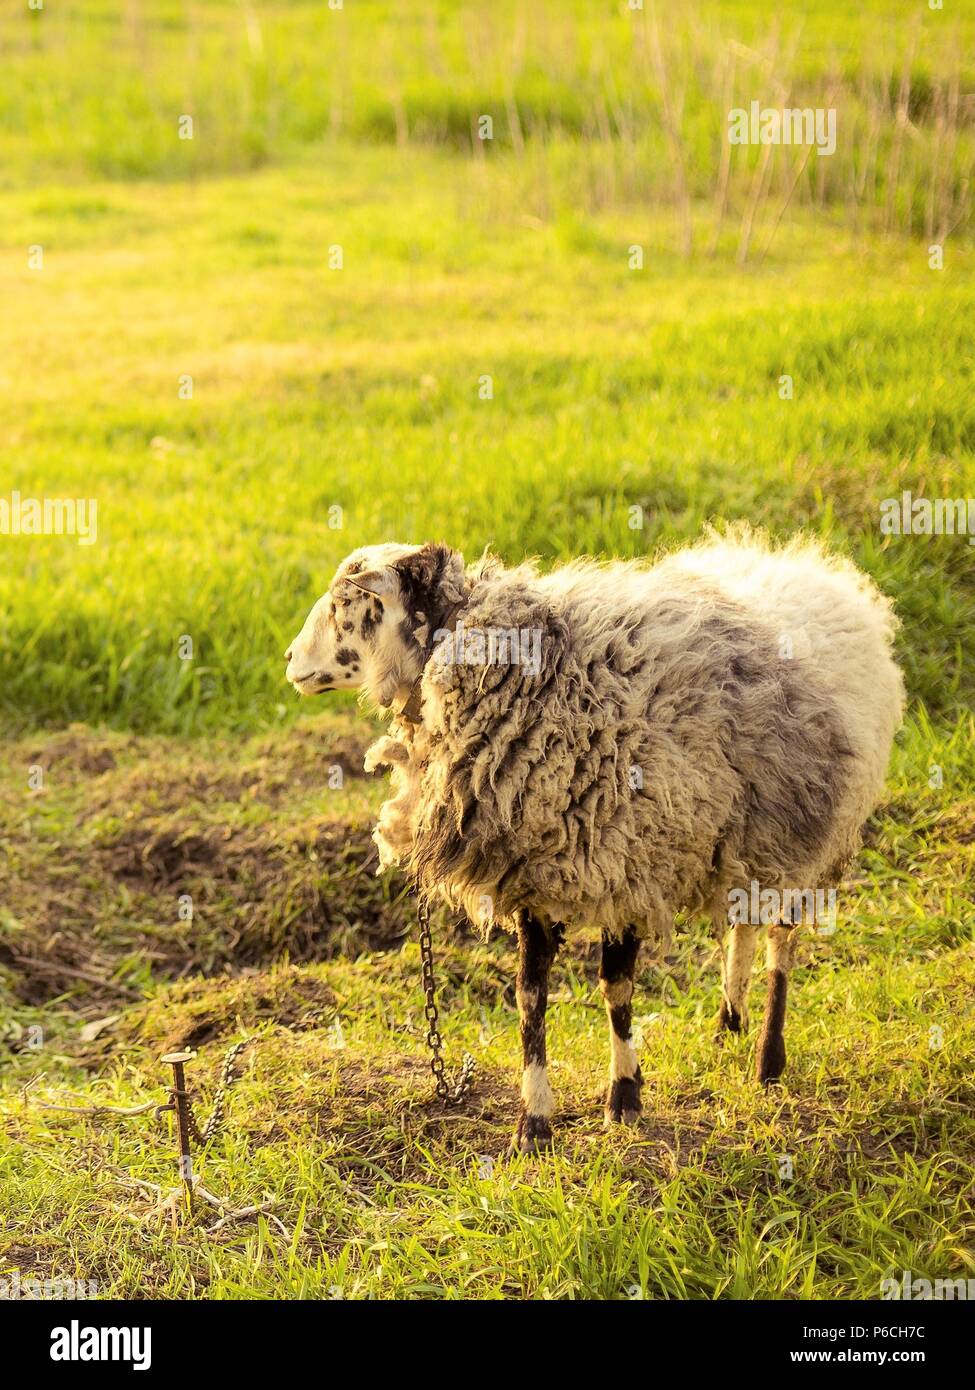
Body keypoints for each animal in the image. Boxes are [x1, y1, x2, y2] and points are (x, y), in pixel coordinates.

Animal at [285, 530, 904, 1151]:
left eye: (345, 602)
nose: (289, 660)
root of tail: (808, 565)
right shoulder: (532, 875)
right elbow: (530, 996)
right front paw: (534, 1123)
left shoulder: (628, 864)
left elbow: (617, 989)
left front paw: (624, 1098)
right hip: (748, 832)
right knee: (743, 922)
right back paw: (729, 1022)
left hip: (805, 828)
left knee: (779, 939)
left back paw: (768, 1061)